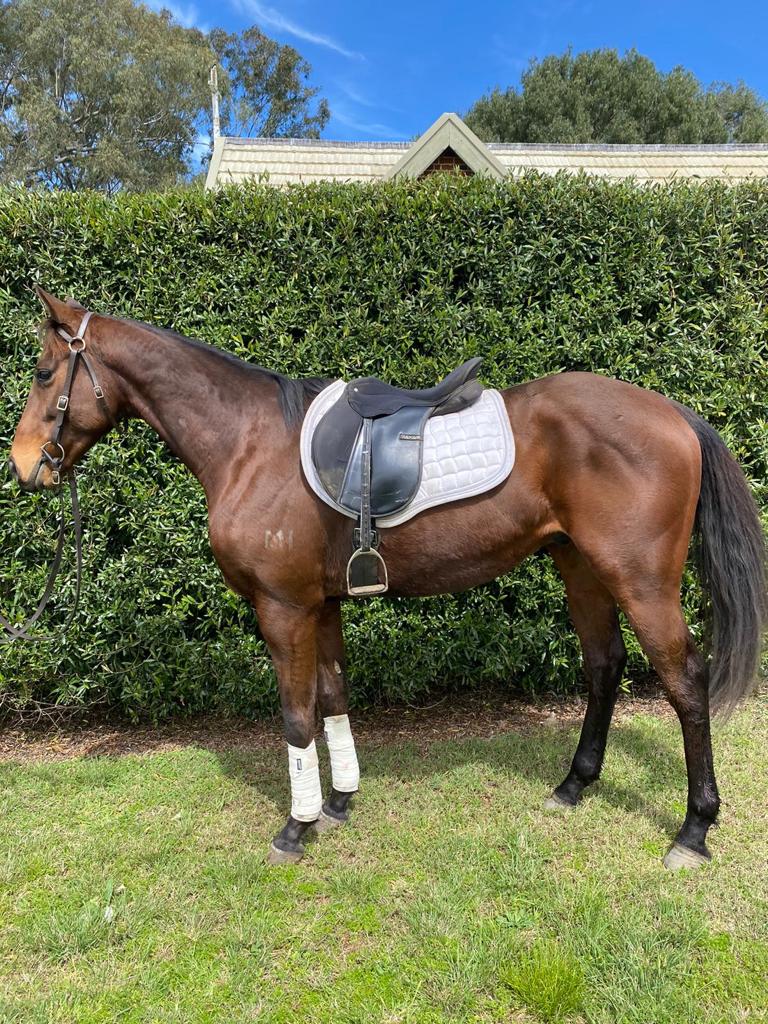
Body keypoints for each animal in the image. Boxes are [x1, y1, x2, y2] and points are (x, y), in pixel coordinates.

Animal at [7, 288, 766, 869]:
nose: (22, 465)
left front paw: (296, 826)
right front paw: (339, 801)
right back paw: (574, 786)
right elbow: (334, 697)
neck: (250, 443)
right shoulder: (322, 605)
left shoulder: (282, 607)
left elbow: (295, 715)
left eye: (44, 372)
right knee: (603, 665)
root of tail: (674, 414)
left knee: (683, 679)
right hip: (580, 566)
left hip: (640, 580)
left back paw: (693, 829)